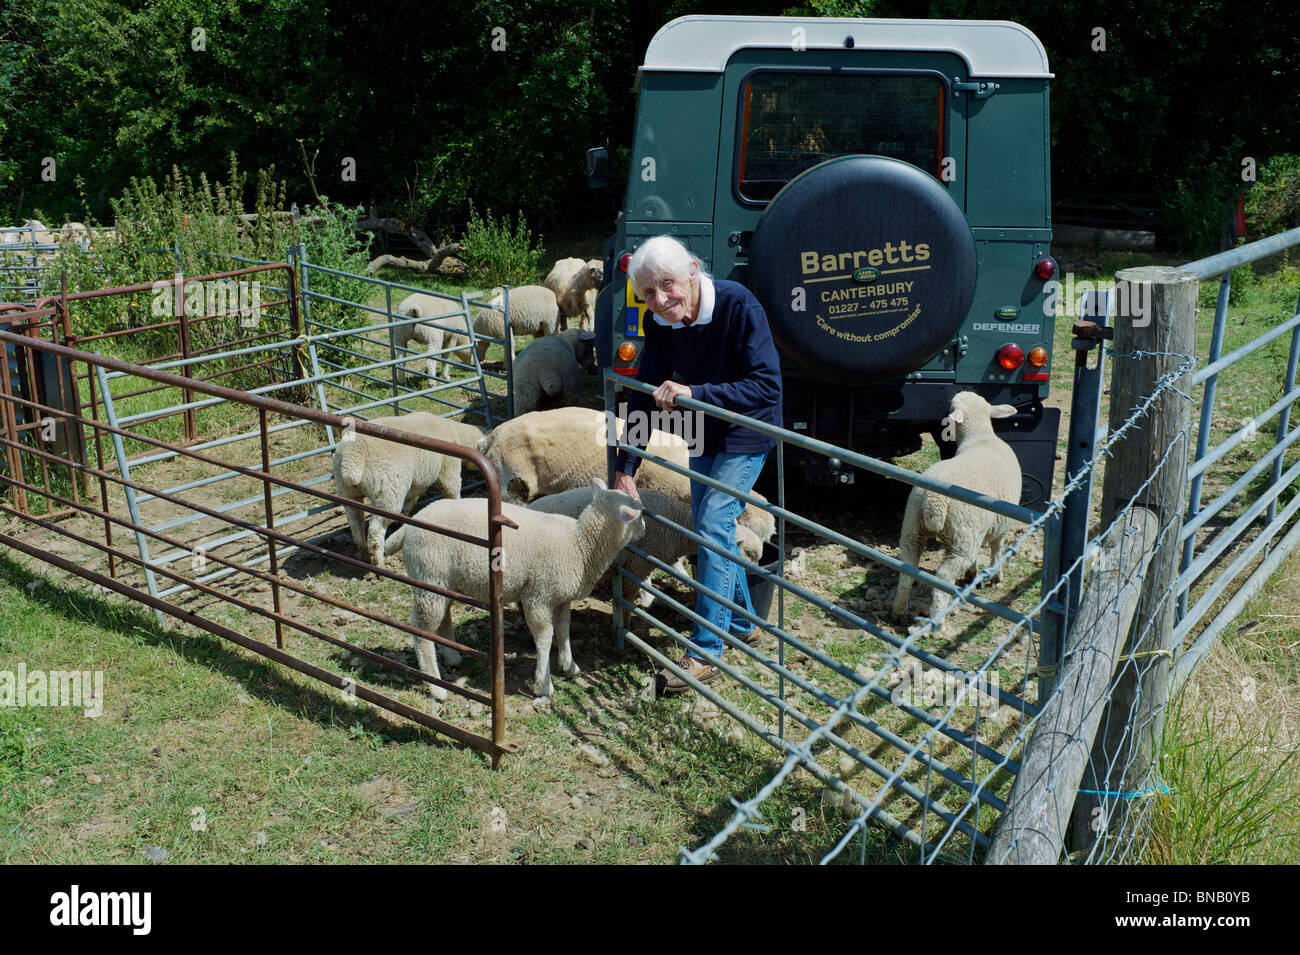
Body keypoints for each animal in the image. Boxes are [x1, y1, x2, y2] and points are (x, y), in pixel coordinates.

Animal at [332, 411, 486, 569]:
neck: (457, 433)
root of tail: (352, 458)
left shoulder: (415, 483)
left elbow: (409, 502)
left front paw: (406, 518)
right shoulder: (448, 469)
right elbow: (452, 491)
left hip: (347, 491)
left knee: (355, 523)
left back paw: (362, 553)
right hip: (387, 491)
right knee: (376, 531)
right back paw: (378, 563)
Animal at [404, 478, 645, 702]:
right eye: (638, 512)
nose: (644, 531)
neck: (580, 545)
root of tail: (413, 523)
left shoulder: (561, 598)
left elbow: (563, 628)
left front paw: (569, 666)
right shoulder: (538, 596)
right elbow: (545, 636)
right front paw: (544, 684)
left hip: (442, 583)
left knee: (442, 618)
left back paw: (452, 656)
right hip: (429, 577)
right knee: (421, 628)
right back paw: (436, 686)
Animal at [892, 391, 1023, 630]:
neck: (980, 437)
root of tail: (934, 501)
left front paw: (973, 574)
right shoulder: (1002, 522)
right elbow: (997, 548)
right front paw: (995, 576)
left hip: (913, 527)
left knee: (907, 568)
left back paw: (898, 612)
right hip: (962, 537)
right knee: (943, 576)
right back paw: (937, 622)